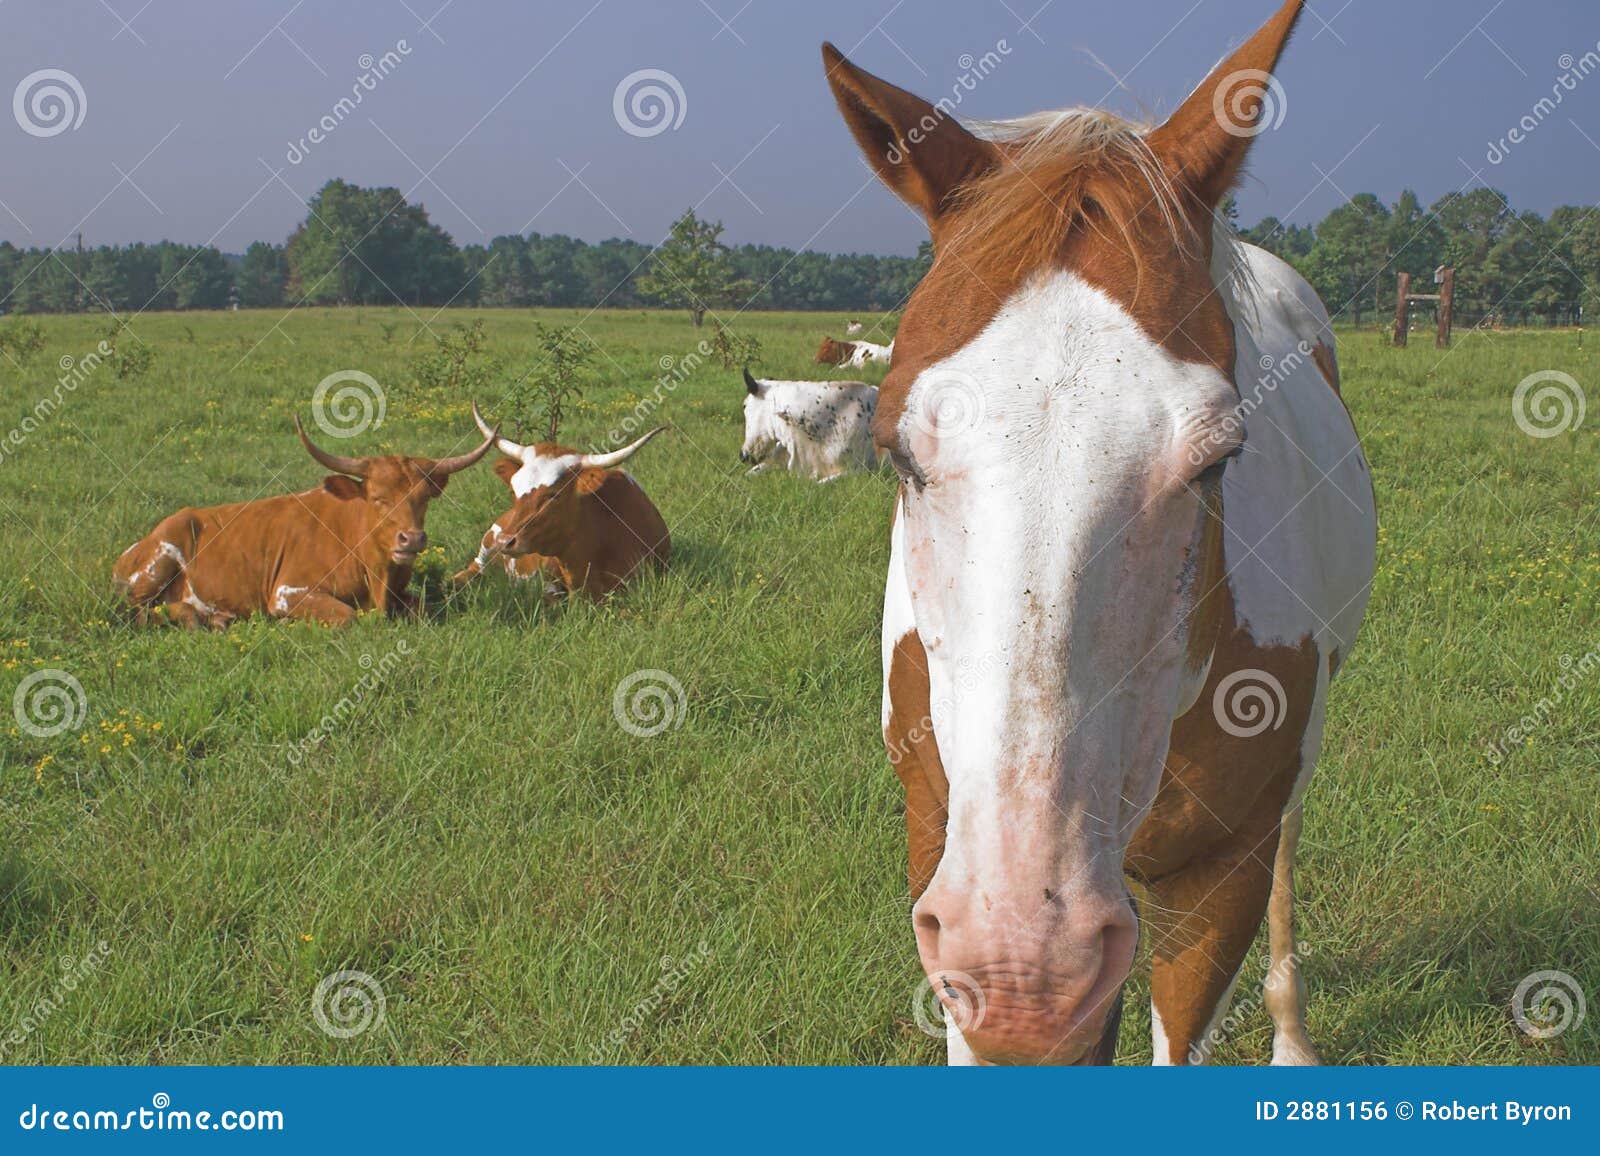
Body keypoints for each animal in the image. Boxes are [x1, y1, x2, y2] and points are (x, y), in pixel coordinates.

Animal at [113, 418, 496, 628]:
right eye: (377, 497)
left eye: (424, 498)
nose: (412, 539)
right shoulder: (288, 592)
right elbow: (347, 616)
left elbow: (425, 609)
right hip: (155, 567)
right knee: (138, 612)